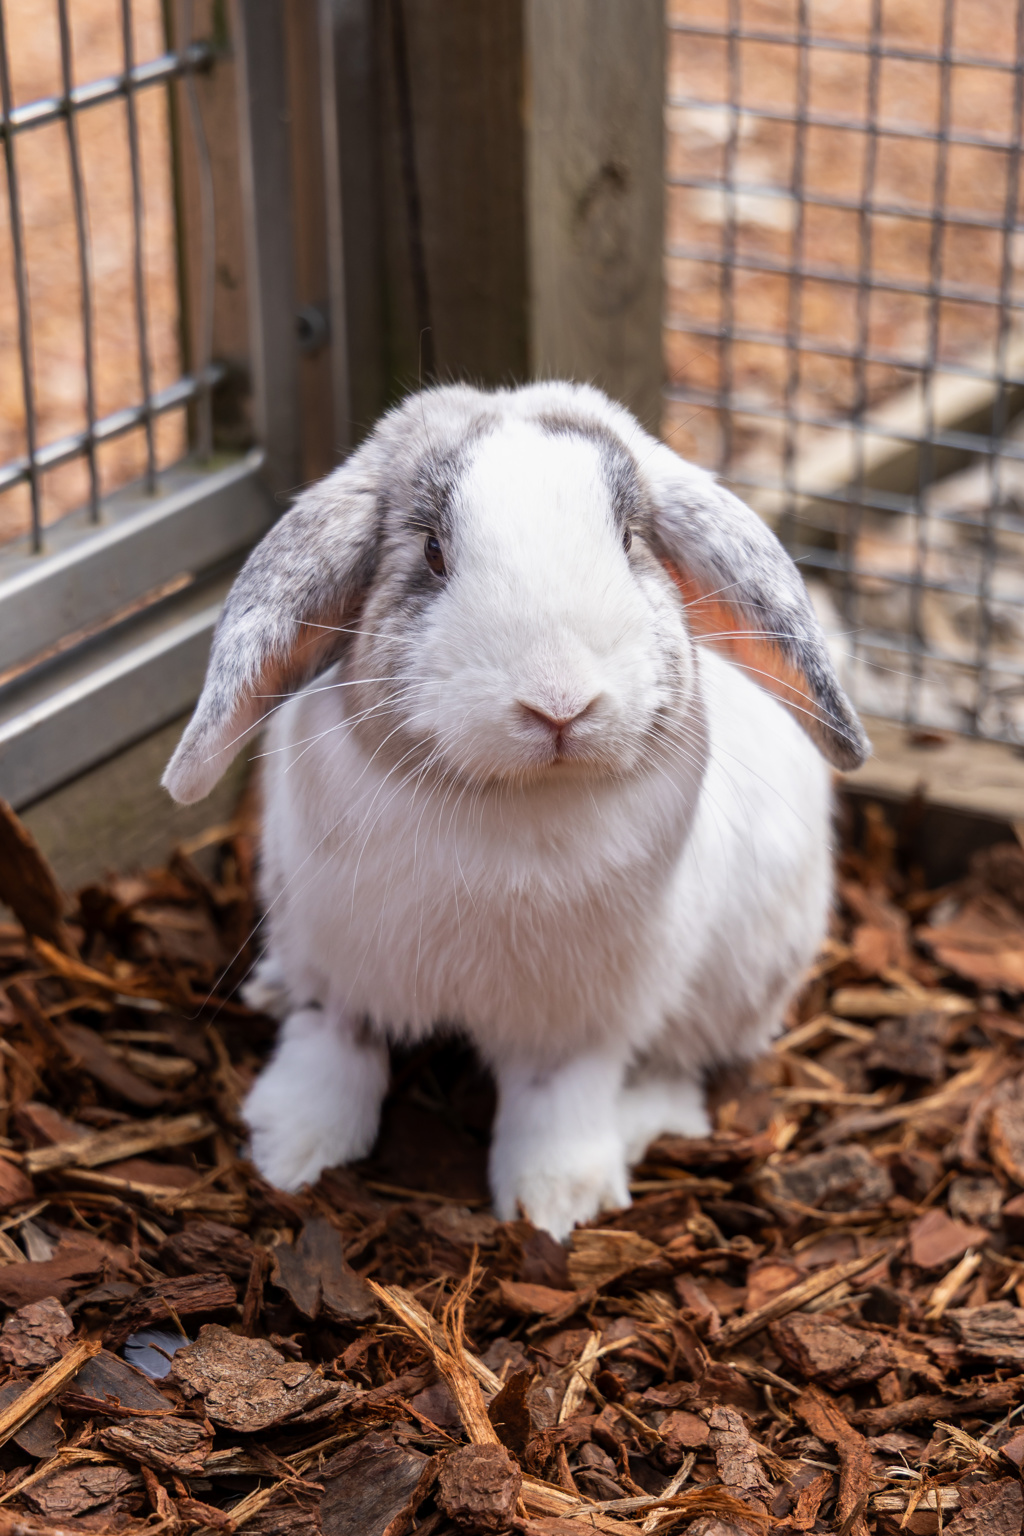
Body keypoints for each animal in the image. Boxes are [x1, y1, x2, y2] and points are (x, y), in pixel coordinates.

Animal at [163, 381, 868, 1240]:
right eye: (433, 552)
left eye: (628, 540)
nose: (559, 703)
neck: (514, 802)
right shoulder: (341, 967)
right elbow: (335, 1045)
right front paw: (290, 1149)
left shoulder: (577, 1021)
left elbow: (555, 1098)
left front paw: (557, 1205)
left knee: (683, 1064)